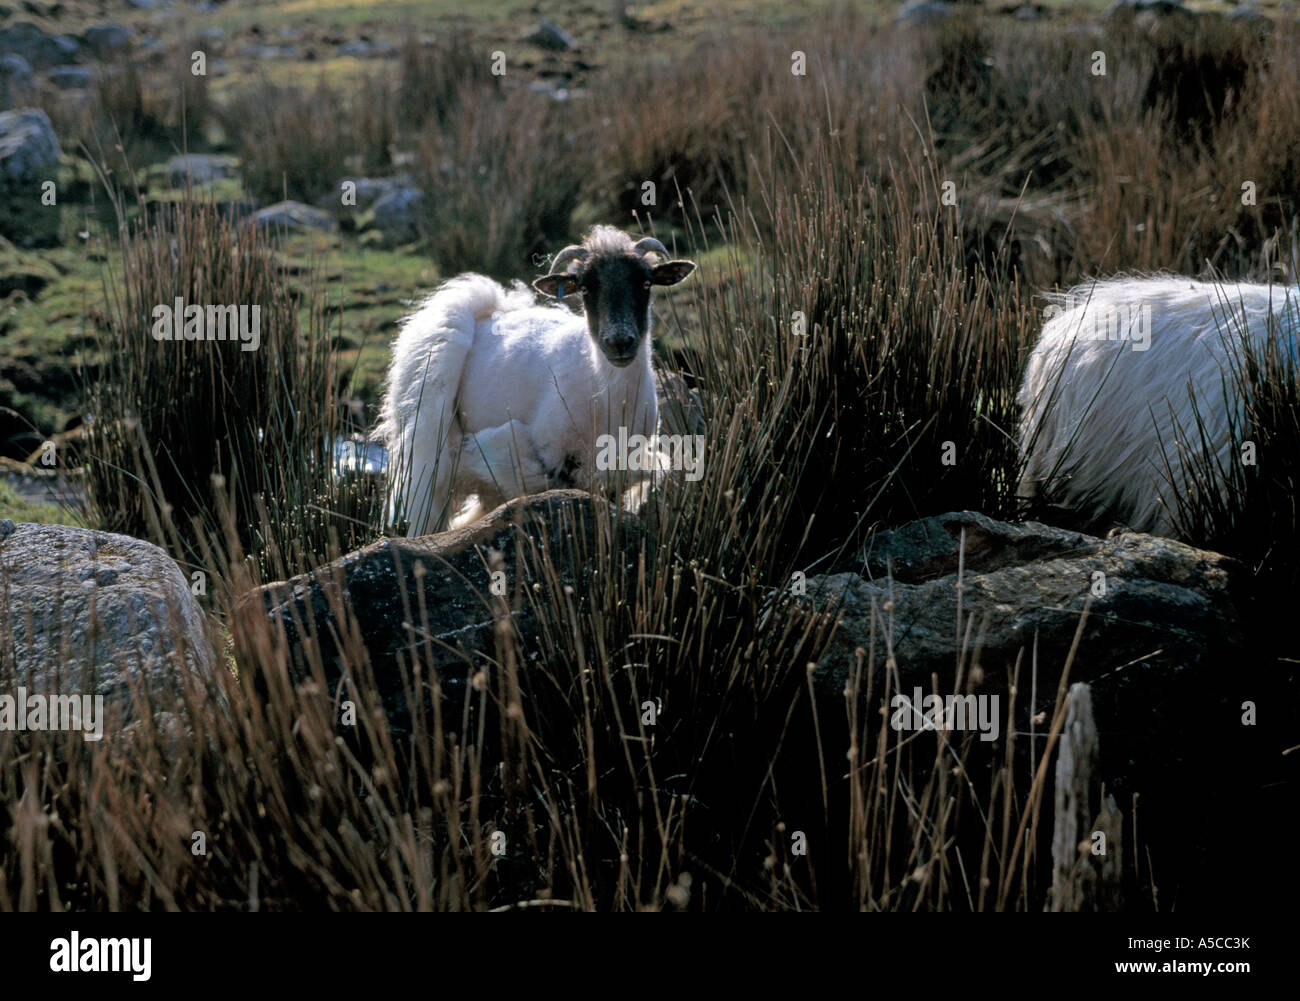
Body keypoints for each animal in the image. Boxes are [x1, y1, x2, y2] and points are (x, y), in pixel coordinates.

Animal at [377, 226, 697, 536]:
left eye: (646, 284)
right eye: (584, 287)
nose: (619, 343)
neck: (604, 389)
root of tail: (490, 314)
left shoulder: (619, 468)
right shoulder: (550, 458)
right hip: (431, 430)